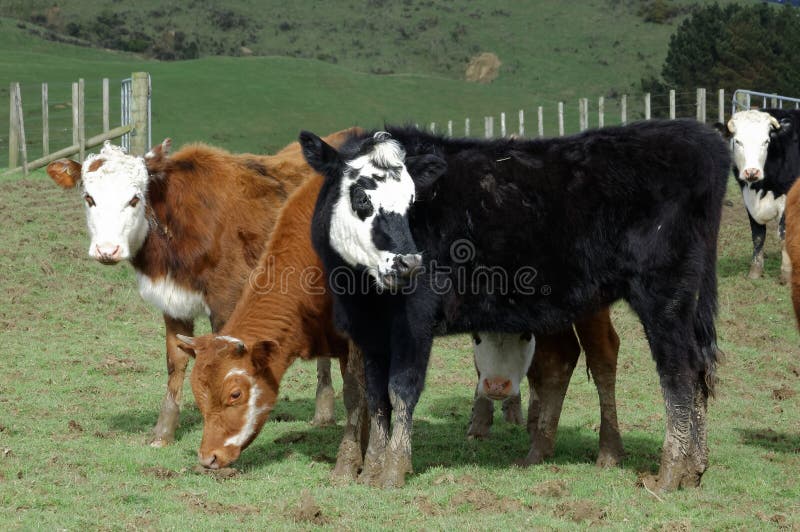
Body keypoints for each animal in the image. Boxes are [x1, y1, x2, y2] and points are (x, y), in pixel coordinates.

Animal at [45, 129, 357, 447]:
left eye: (134, 199)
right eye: (89, 198)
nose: (107, 250)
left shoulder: (227, 302)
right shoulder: (173, 302)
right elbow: (176, 361)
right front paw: (164, 432)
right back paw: (324, 412)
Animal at [469, 308, 623, 469]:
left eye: (525, 335)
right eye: (476, 336)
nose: (497, 386)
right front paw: (479, 426)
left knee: (599, 353)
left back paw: (608, 454)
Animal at [725, 109, 800, 283]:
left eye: (766, 141)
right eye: (738, 142)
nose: (752, 172)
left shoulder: (786, 201)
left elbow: (783, 235)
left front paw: (786, 274)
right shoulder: (748, 201)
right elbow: (757, 235)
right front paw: (755, 271)